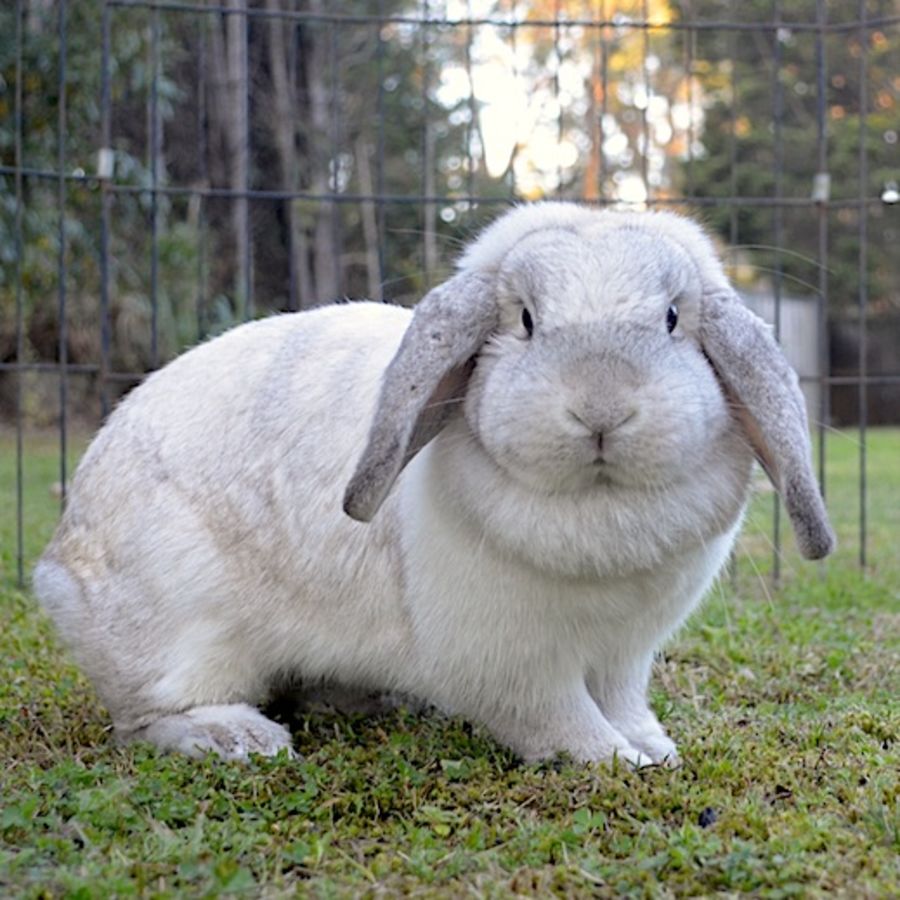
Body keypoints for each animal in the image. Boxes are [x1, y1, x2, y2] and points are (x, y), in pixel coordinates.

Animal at [33, 202, 834, 766]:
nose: (601, 407)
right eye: (526, 319)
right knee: (144, 718)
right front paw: (613, 762)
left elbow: (624, 704)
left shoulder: (625, 656)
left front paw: (654, 749)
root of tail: (56, 563)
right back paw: (235, 738)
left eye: (673, 318)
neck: (598, 507)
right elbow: (559, 720)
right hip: (179, 629)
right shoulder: (518, 664)